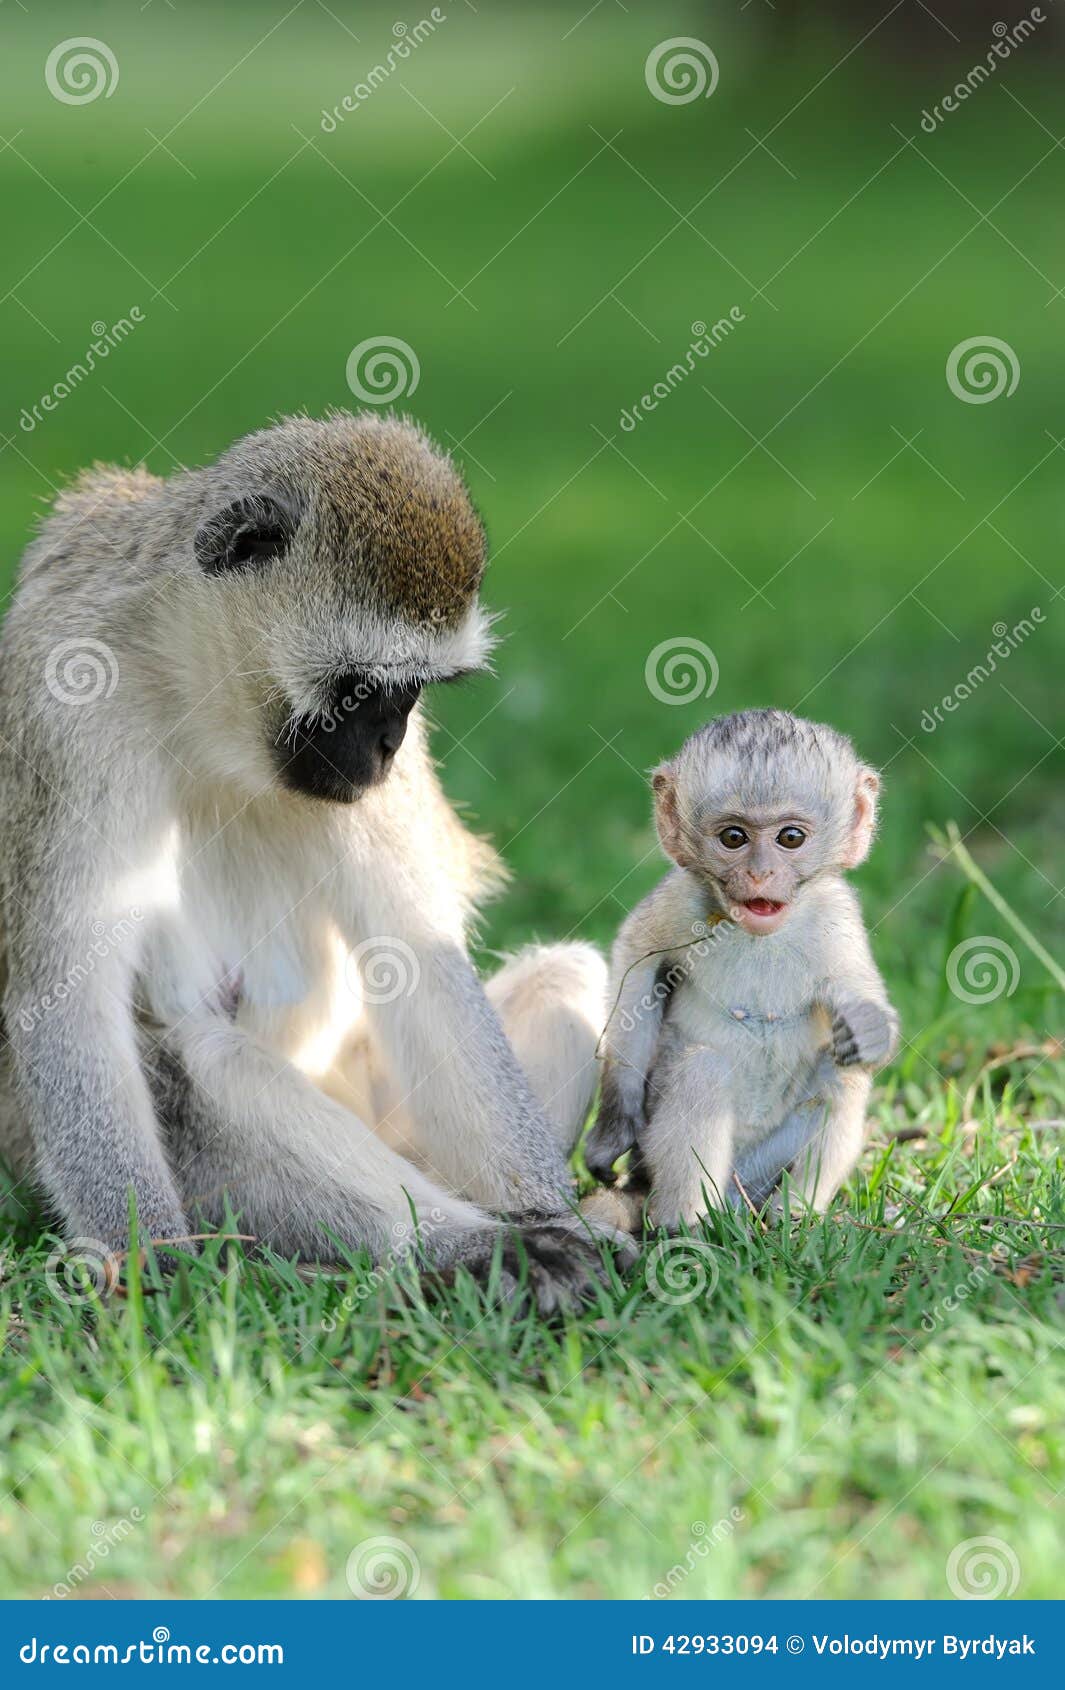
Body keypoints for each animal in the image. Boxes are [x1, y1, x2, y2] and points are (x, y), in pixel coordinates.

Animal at [0, 410, 634, 1313]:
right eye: (359, 689)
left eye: (414, 690)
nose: (390, 745)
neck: (200, 706)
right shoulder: (67, 708)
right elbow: (67, 994)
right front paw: (152, 1260)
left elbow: (422, 962)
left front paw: (553, 1215)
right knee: (206, 1057)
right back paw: (458, 1247)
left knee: (562, 973)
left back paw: (512, 1229)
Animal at [583, 709, 898, 1228]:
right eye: (734, 838)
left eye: (790, 838)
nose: (760, 873)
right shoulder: (680, 899)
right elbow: (638, 966)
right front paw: (614, 1127)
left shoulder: (837, 915)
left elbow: (856, 995)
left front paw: (870, 1027)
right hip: (663, 1161)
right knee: (703, 1071)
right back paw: (684, 1227)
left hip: (760, 1168)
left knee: (843, 1078)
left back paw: (791, 1216)